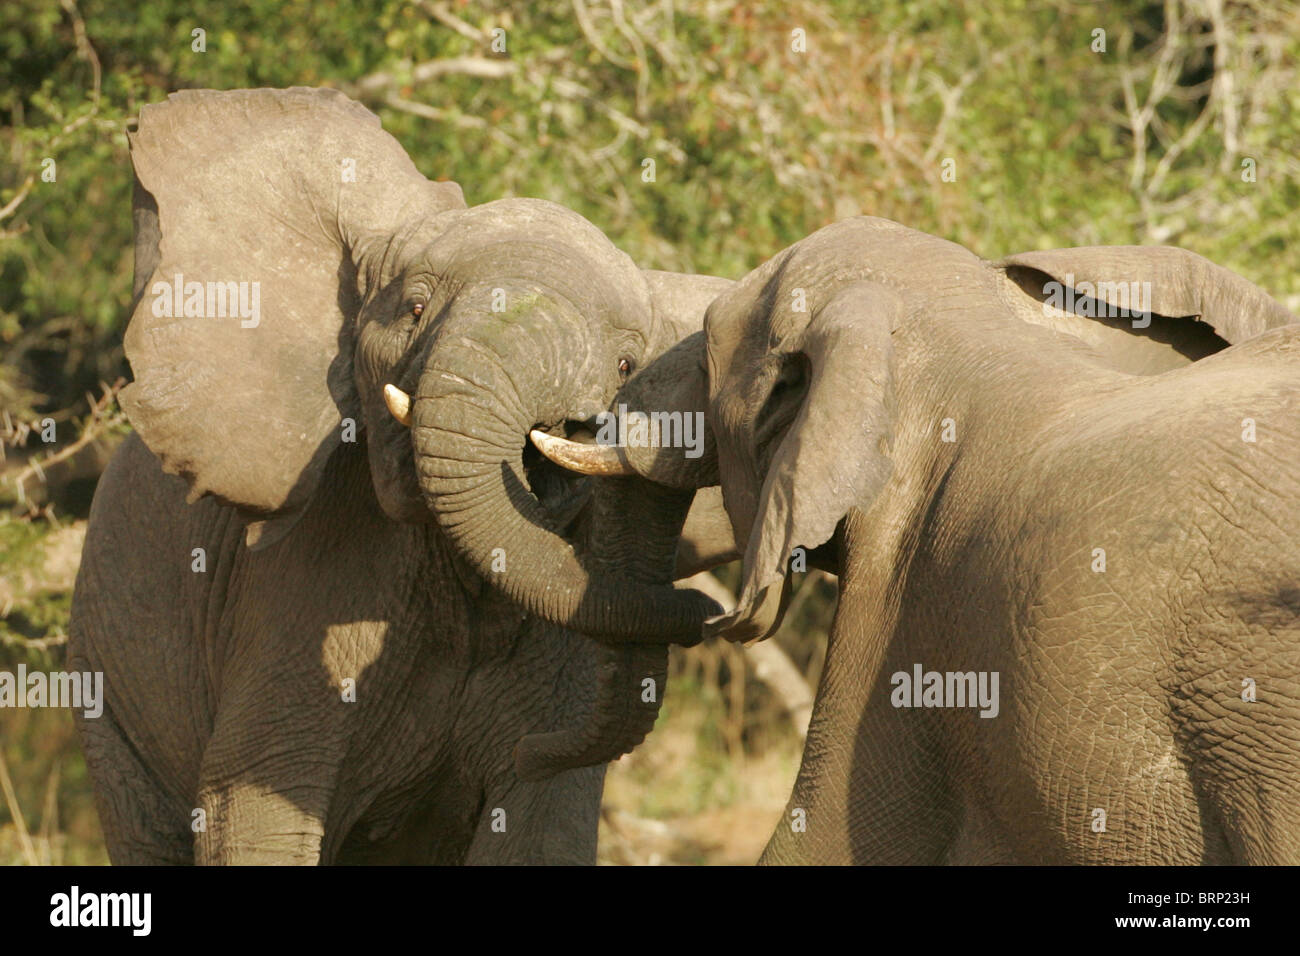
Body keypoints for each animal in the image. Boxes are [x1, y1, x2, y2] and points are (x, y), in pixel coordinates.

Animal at [67, 87, 736, 865]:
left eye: (628, 364)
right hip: (106, 676)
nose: (710, 615)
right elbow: (251, 812)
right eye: (414, 308)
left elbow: (540, 830)